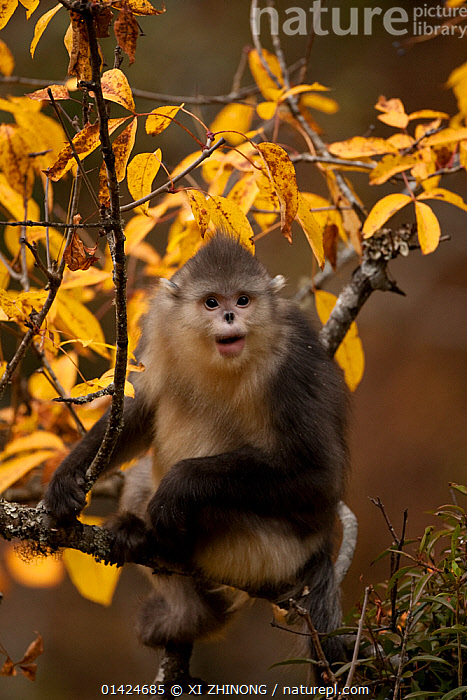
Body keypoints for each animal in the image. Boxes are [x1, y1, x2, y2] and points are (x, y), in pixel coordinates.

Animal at [44, 233, 349, 670]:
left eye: (243, 300)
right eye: (211, 302)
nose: (230, 317)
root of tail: (319, 551)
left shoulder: (293, 366)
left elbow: (319, 477)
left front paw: (179, 483)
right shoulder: (160, 330)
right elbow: (136, 410)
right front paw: (66, 479)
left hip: (267, 551)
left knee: (198, 506)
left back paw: (155, 539)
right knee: (142, 480)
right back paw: (192, 613)